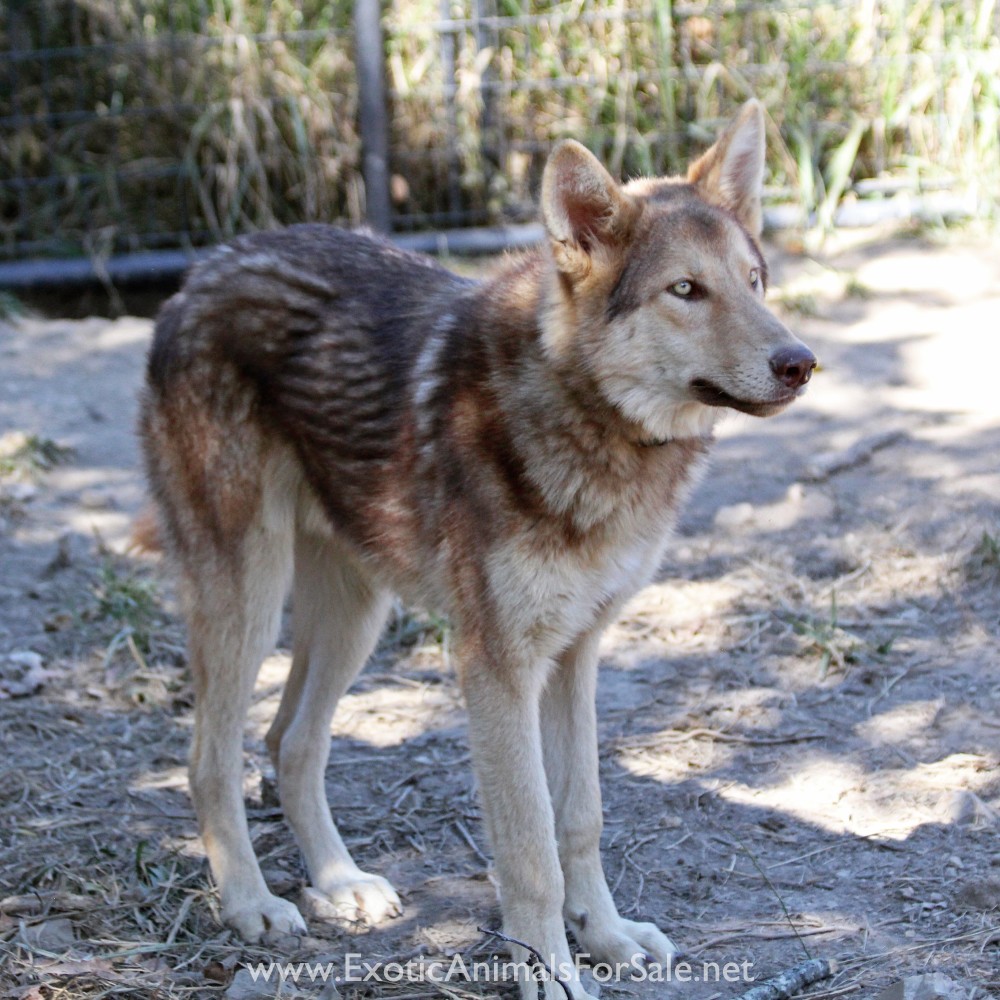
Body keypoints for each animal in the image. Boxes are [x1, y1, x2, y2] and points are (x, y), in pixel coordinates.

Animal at [140, 100, 815, 998]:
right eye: (686, 290)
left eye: (754, 280)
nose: (800, 363)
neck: (584, 422)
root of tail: (199, 274)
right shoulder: (496, 667)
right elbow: (529, 851)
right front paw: (551, 975)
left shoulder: (576, 655)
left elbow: (581, 818)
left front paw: (607, 938)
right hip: (247, 598)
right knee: (209, 759)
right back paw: (252, 904)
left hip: (356, 613)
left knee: (291, 742)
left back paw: (340, 884)